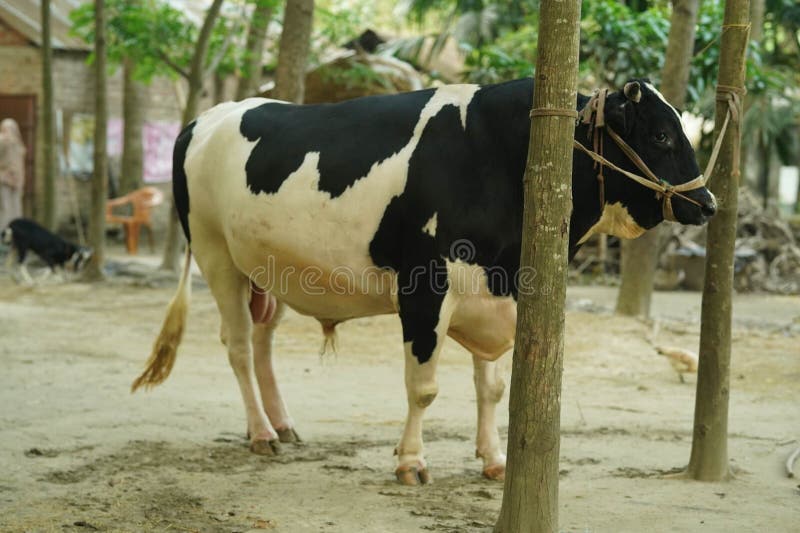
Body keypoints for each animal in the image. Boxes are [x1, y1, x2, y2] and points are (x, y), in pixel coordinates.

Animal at [132, 78, 716, 485]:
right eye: (662, 134)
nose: (708, 204)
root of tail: (206, 118)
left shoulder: (500, 287)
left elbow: (491, 387)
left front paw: (494, 459)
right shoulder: (425, 287)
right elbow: (425, 387)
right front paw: (411, 461)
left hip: (266, 270)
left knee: (260, 342)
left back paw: (283, 425)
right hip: (216, 255)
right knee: (235, 346)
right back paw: (259, 433)